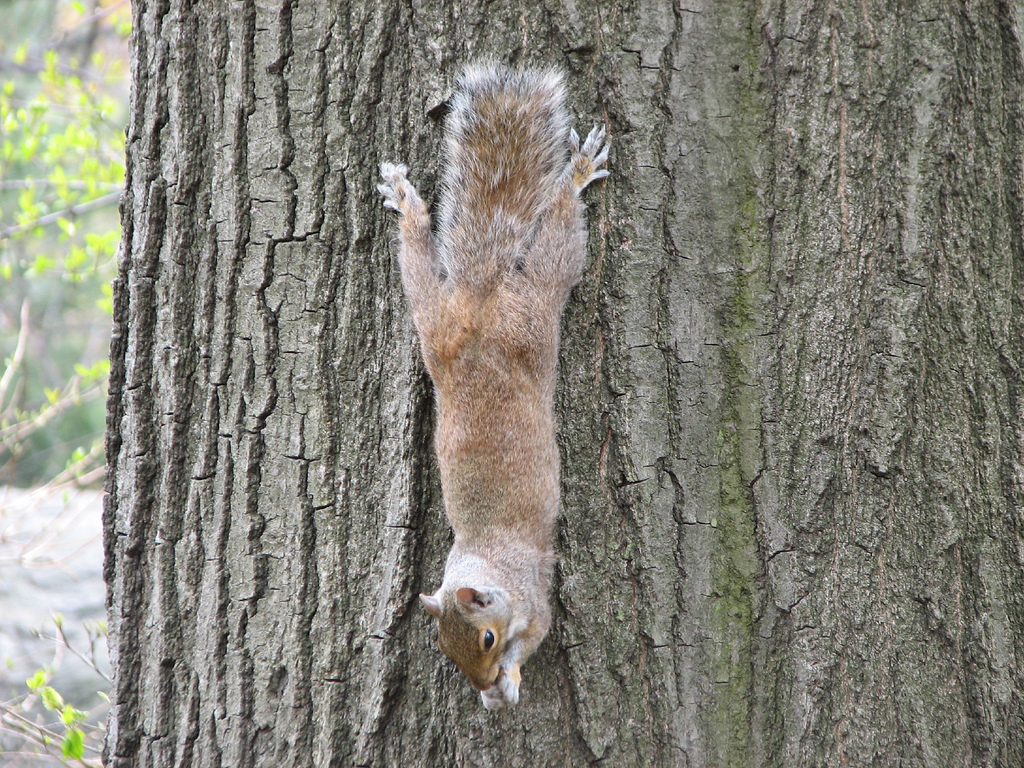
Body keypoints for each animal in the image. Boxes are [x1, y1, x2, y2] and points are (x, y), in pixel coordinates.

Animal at [378, 62, 609, 710]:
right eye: (446, 652)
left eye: (485, 638)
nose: (480, 683)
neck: (485, 554)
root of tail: (482, 310)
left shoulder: (534, 600)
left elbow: (537, 637)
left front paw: (509, 681)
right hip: (435, 326)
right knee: (417, 263)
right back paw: (408, 207)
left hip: (534, 304)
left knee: (559, 235)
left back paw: (576, 173)